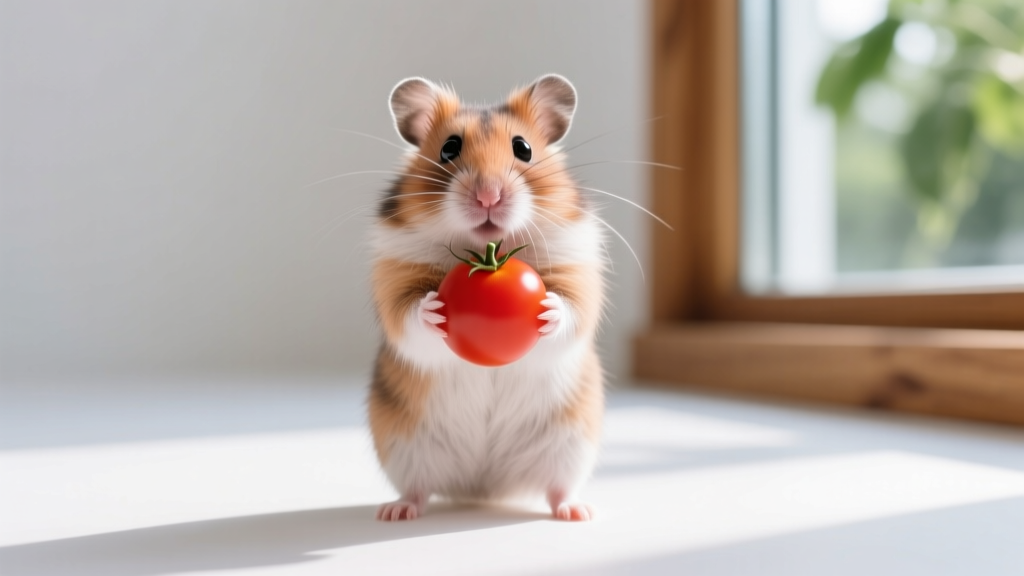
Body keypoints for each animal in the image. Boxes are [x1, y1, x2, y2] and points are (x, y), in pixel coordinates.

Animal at [368, 75, 606, 522]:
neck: (486, 251)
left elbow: (571, 310)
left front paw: (545, 309)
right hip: (403, 446)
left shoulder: (580, 272)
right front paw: (436, 309)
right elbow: (409, 315)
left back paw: (576, 512)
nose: (488, 197)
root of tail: (484, 486)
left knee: (558, 488)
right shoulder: (394, 279)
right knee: (417, 488)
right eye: (449, 148)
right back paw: (396, 512)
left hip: (570, 446)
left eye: (523, 148)